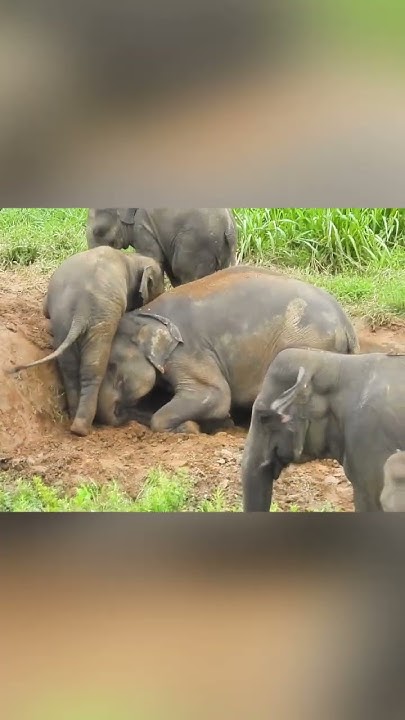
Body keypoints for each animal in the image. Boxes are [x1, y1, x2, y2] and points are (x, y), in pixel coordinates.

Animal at [9, 246, 164, 437]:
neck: (131, 258)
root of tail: (82, 309)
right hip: (102, 318)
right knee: (94, 365)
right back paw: (82, 428)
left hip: (64, 319)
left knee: (69, 367)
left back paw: (75, 422)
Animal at [86, 208, 238, 286]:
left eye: (97, 232)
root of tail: (228, 226)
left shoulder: (142, 226)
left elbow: (153, 258)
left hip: (195, 245)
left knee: (184, 270)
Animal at [95, 266, 359, 434]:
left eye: (112, 366)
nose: (121, 414)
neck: (146, 315)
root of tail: (347, 327)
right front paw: (221, 424)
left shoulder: (188, 353)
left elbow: (216, 394)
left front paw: (191, 428)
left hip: (308, 346)